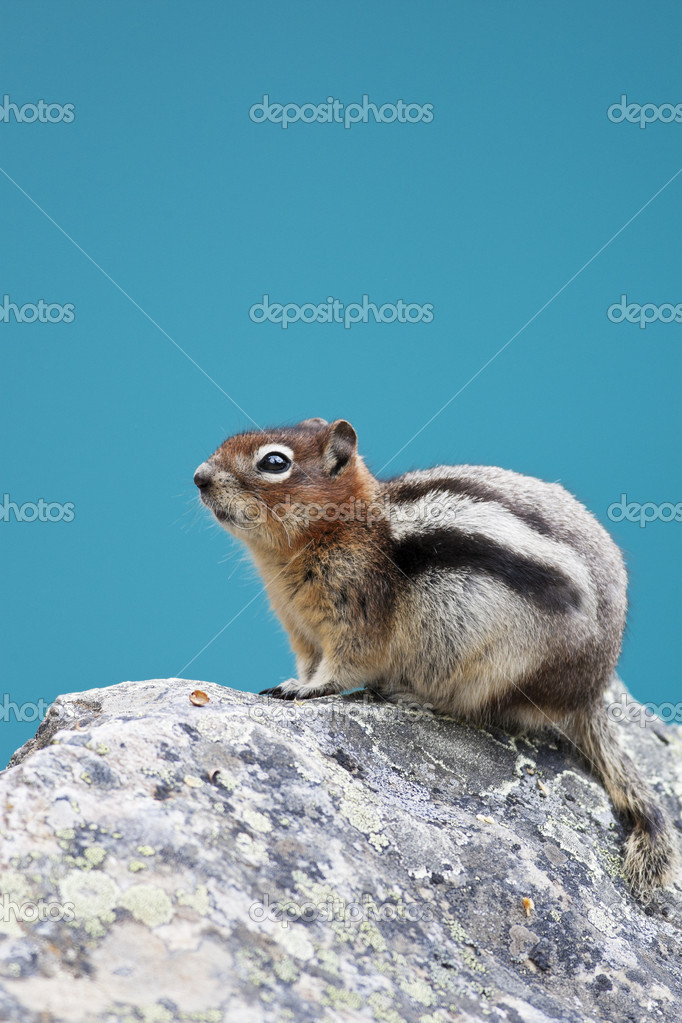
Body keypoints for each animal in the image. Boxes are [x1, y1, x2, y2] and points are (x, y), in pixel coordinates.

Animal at [194, 416, 677, 893]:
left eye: (274, 462)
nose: (199, 476)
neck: (345, 529)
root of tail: (590, 693)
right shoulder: (302, 633)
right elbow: (308, 663)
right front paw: (294, 682)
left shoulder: (356, 619)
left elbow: (341, 667)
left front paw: (308, 690)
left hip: (498, 667)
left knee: (474, 709)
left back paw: (410, 695)